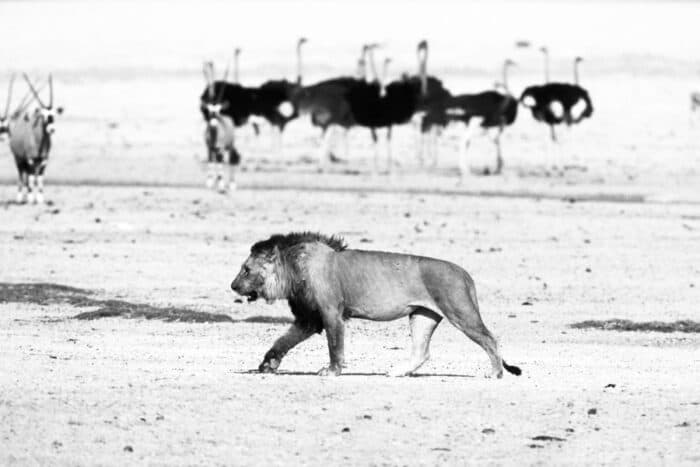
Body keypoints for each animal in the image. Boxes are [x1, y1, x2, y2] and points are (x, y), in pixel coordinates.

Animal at [230, 232, 521, 378]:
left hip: (460, 310)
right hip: (422, 316)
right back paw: (397, 373)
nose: (233, 286)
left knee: (490, 339)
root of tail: (465, 273)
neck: (292, 268)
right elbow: (283, 340)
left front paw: (331, 371)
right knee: (421, 352)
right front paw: (267, 365)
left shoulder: (330, 312)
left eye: (246, 269)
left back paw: (495, 373)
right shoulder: (309, 317)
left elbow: (334, 345)